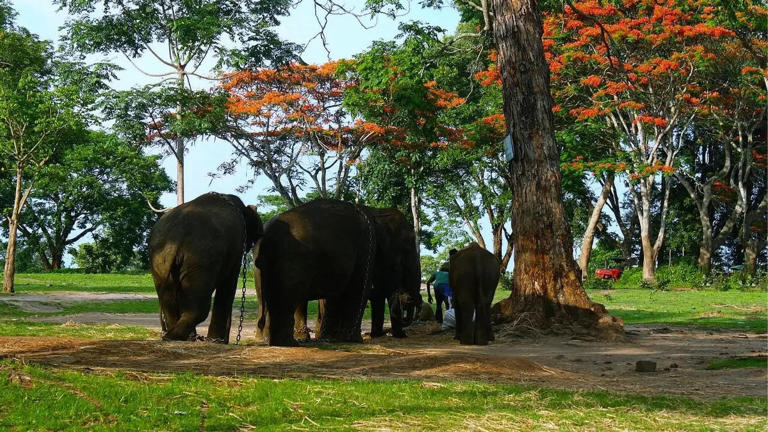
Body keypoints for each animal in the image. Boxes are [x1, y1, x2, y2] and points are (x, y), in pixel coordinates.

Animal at [149, 192, 263, 343]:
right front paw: (219, 341)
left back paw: (178, 337)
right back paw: (178, 336)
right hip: (201, 259)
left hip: (159, 259)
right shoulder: (237, 245)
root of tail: (176, 235)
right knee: (199, 307)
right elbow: (229, 282)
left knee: (170, 302)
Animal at [253, 199, 421, 346]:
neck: (374, 211)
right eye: (407, 247)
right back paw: (288, 343)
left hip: (260, 264)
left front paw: (332, 338)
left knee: (264, 298)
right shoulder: (366, 246)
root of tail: (268, 234)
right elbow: (359, 288)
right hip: (293, 261)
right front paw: (353, 340)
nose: (407, 298)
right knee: (289, 297)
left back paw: (265, 339)